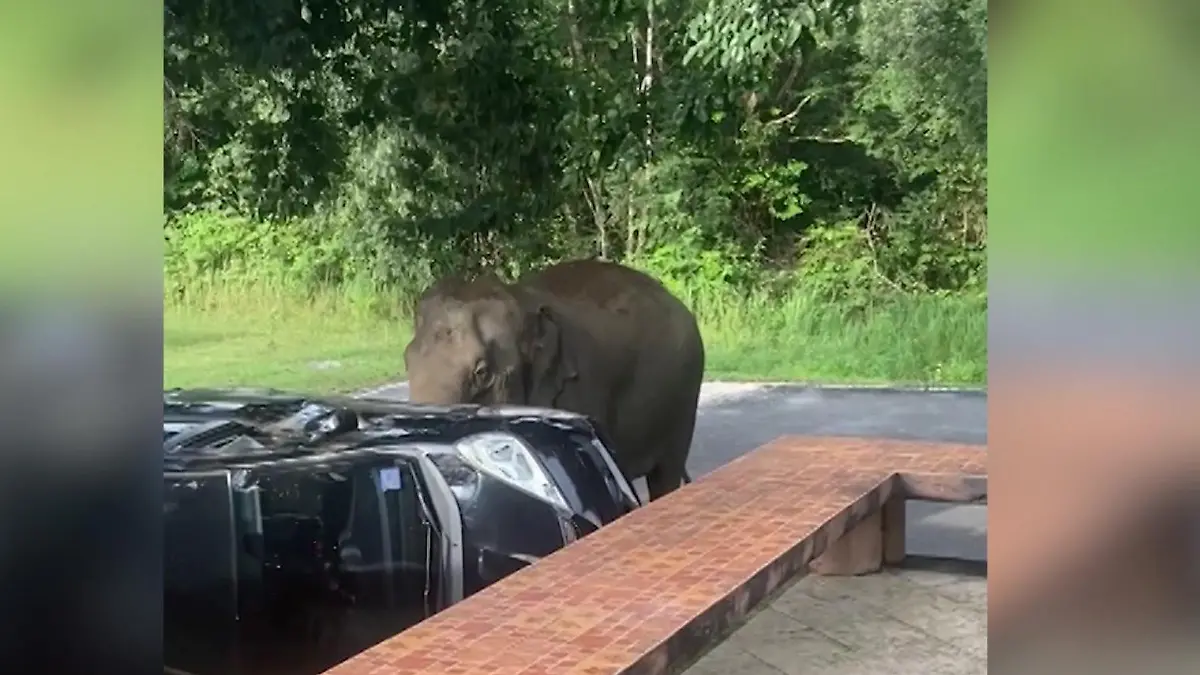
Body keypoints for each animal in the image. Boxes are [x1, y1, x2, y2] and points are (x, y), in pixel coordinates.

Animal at [403, 259, 705, 501]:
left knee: (666, 473)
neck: (518, 298)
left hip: (683, 398)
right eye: (407, 360)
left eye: (482, 373)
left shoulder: (579, 392)